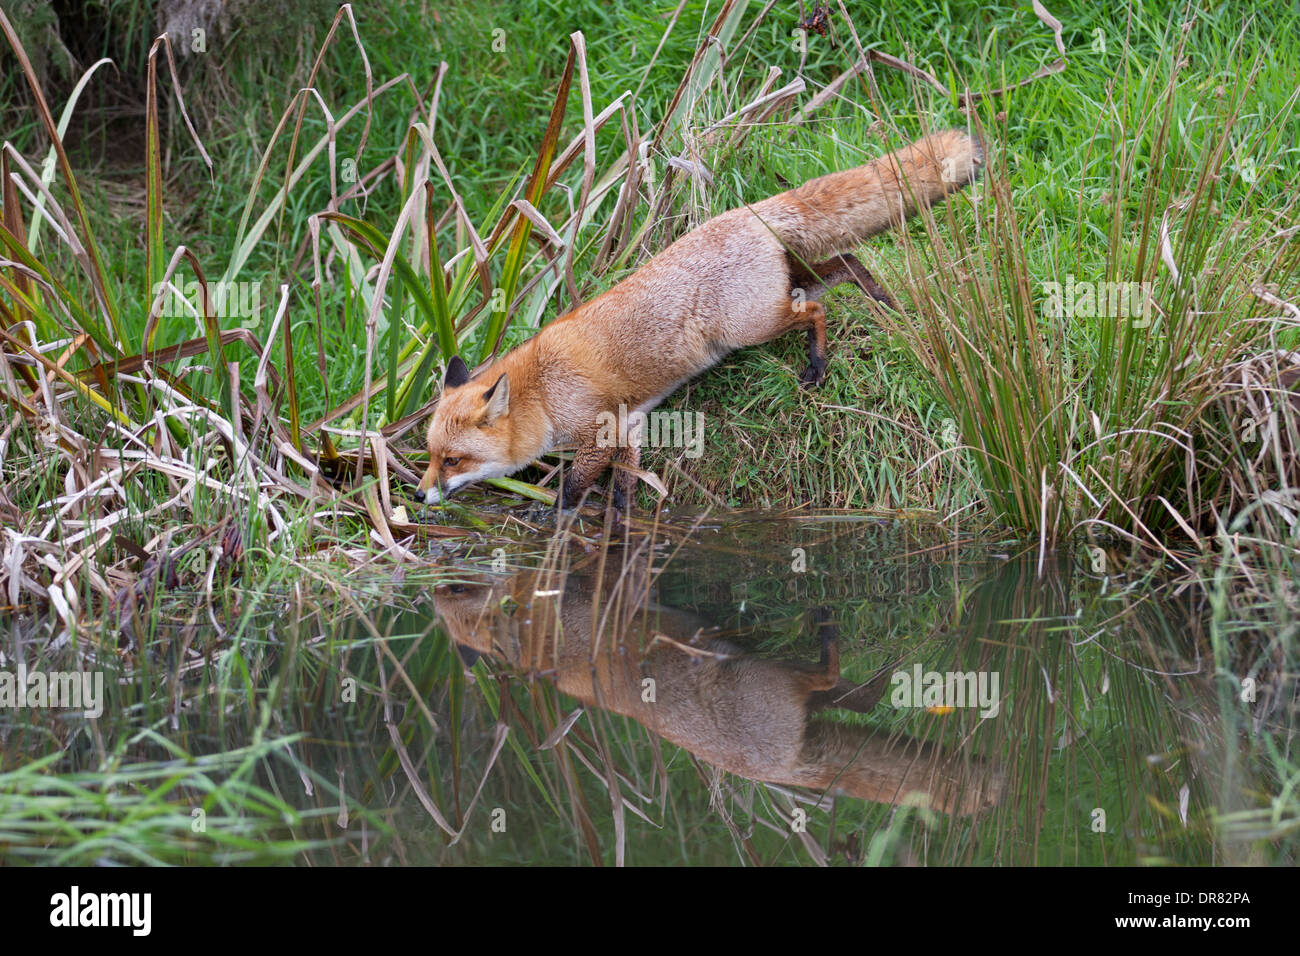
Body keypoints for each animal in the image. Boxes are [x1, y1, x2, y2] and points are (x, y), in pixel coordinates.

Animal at [415, 129, 983, 510]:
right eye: (430, 456)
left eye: (453, 461)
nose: (418, 496)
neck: (543, 390)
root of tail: (746, 211)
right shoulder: (631, 427)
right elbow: (624, 490)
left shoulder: (601, 430)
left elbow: (575, 488)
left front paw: (557, 521)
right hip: (795, 277)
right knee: (847, 263)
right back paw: (884, 300)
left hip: (751, 325)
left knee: (818, 310)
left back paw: (818, 364)